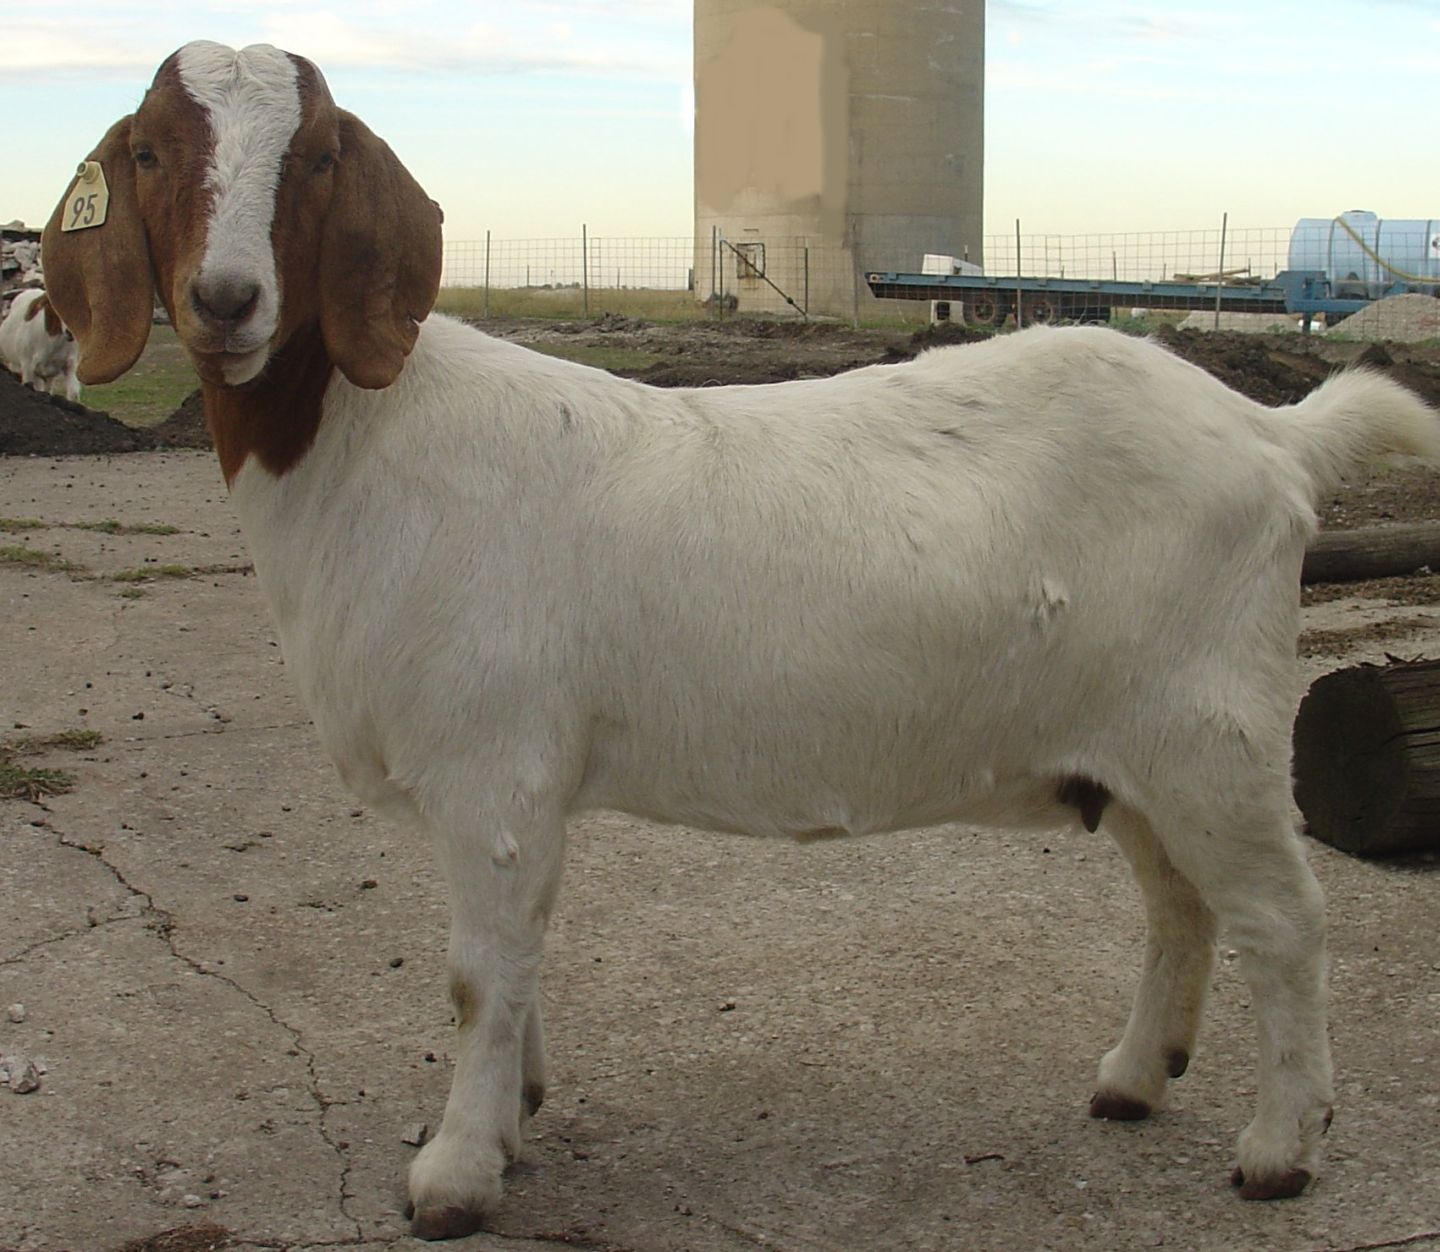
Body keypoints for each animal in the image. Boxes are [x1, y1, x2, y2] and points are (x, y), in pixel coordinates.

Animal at [41, 41, 1440, 1241]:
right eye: (152, 151)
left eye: (321, 156)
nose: (225, 301)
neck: (366, 441)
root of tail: (1275, 435)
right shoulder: (519, 787)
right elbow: (518, 962)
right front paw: (517, 1116)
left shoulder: (494, 765)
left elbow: (479, 973)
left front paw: (454, 1174)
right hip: (1130, 745)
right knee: (1180, 903)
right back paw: (1136, 1078)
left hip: (1212, 726)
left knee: (1284, 915)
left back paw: (1279, 1147)